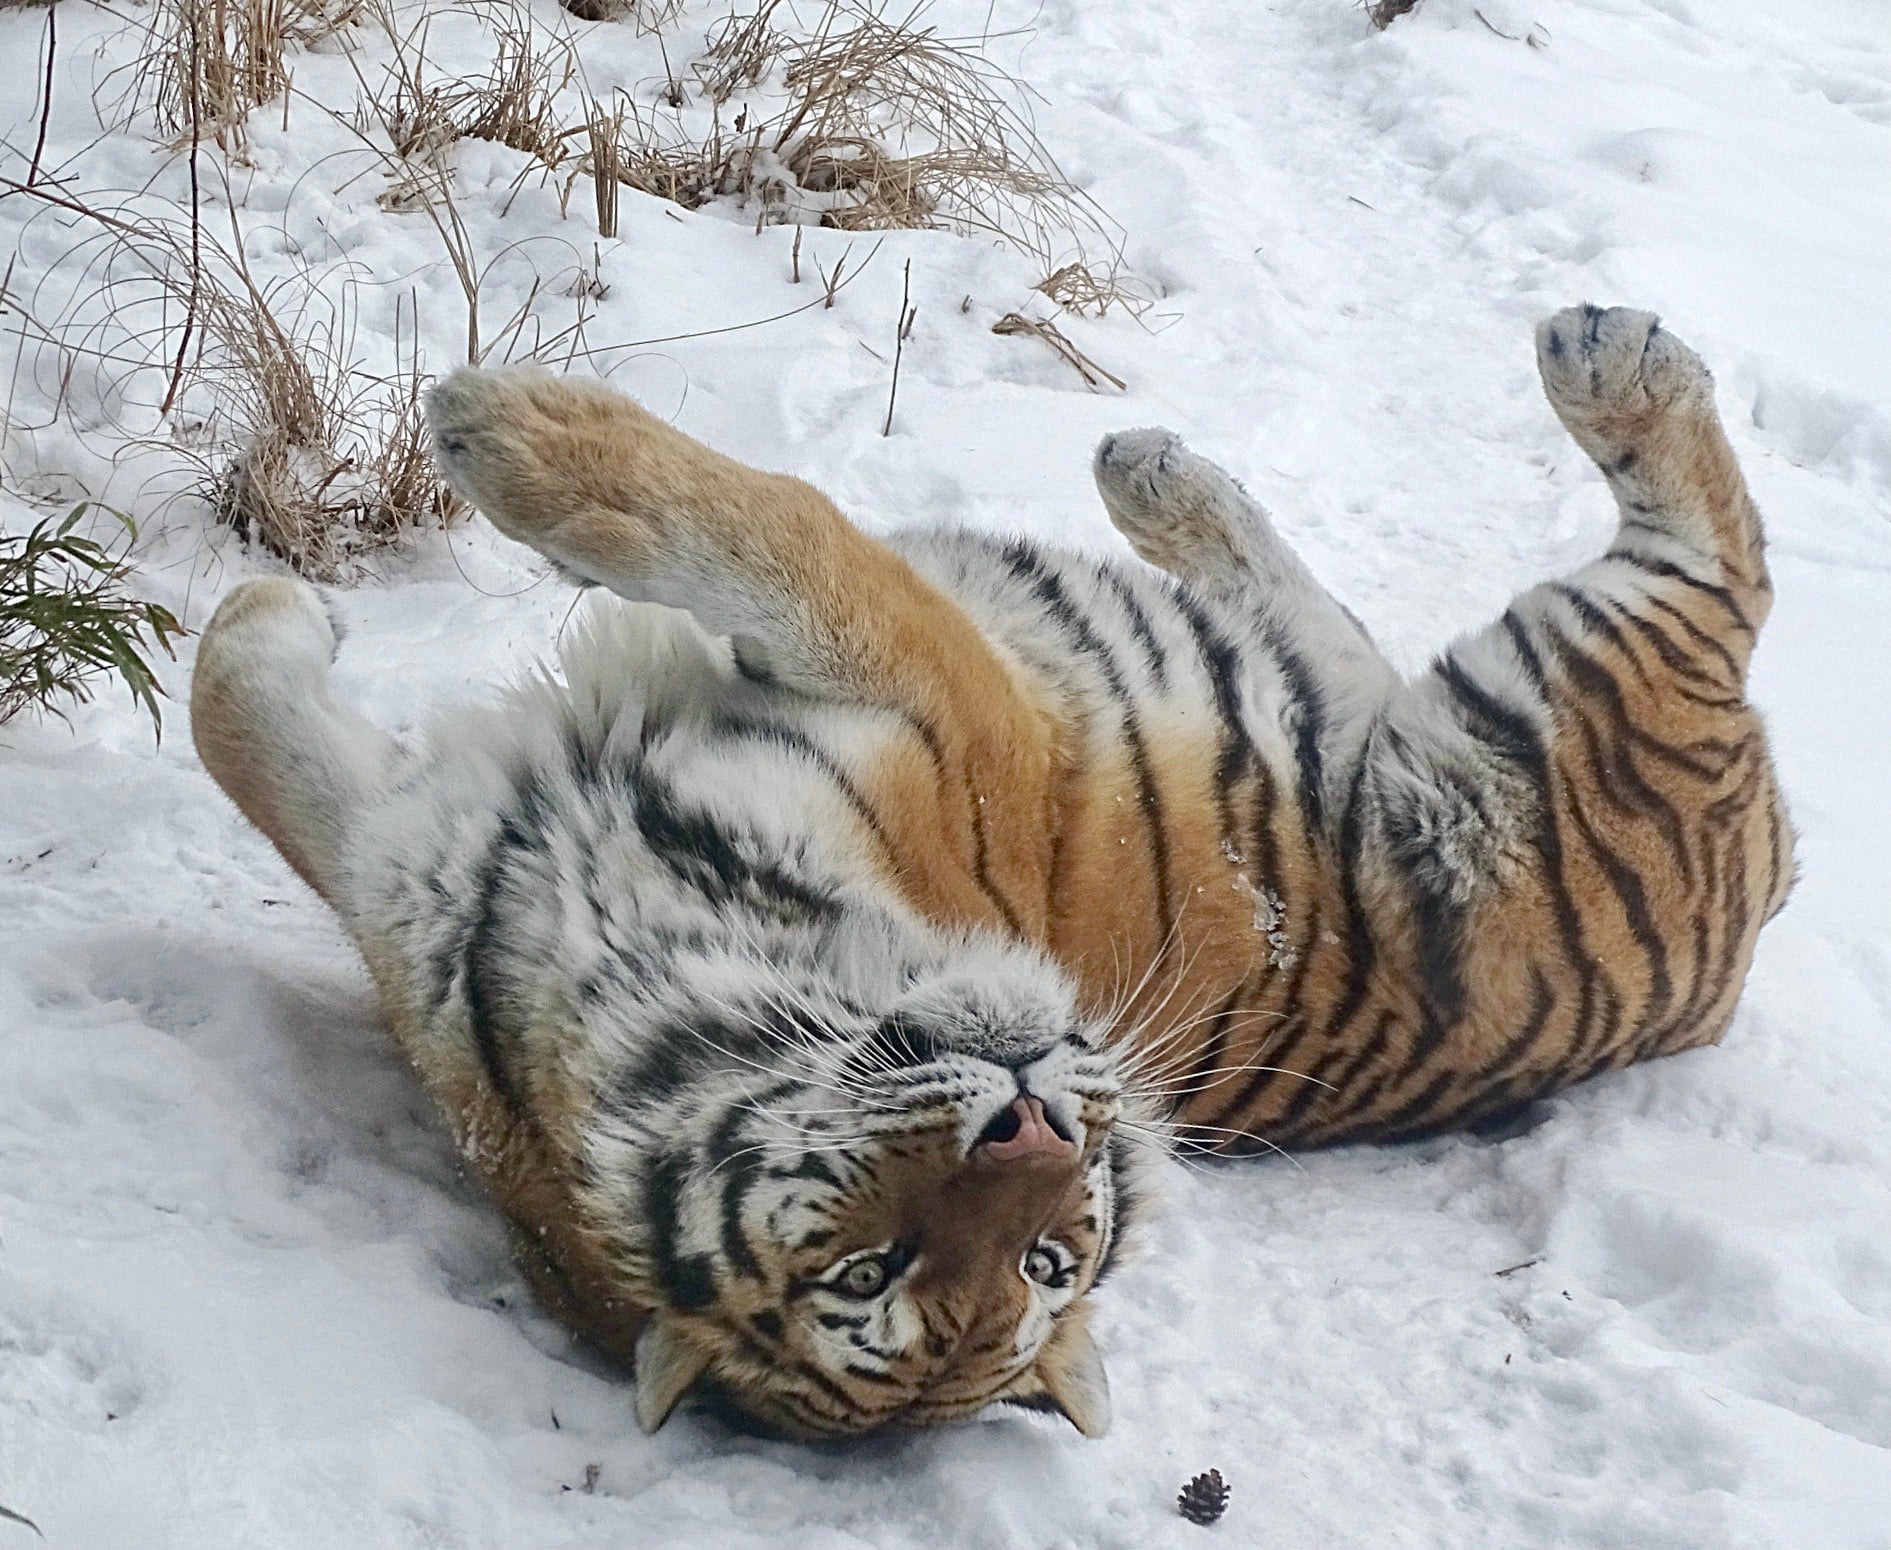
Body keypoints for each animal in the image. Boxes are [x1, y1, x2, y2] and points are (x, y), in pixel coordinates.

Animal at [189, 304, 1792, 1440]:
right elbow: (237, 720)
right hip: (1400, 706)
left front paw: (501, 427)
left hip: (1595, 672)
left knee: (1724, 566)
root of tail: (1729, 968)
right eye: (865, 1273)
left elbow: (778, 523)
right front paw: (276, 609)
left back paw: (1599, 359)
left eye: (1047, 1259)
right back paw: (1158, 479)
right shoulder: (427, 869)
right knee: (1339, 635)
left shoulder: (936, 689)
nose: (1043, 1117)